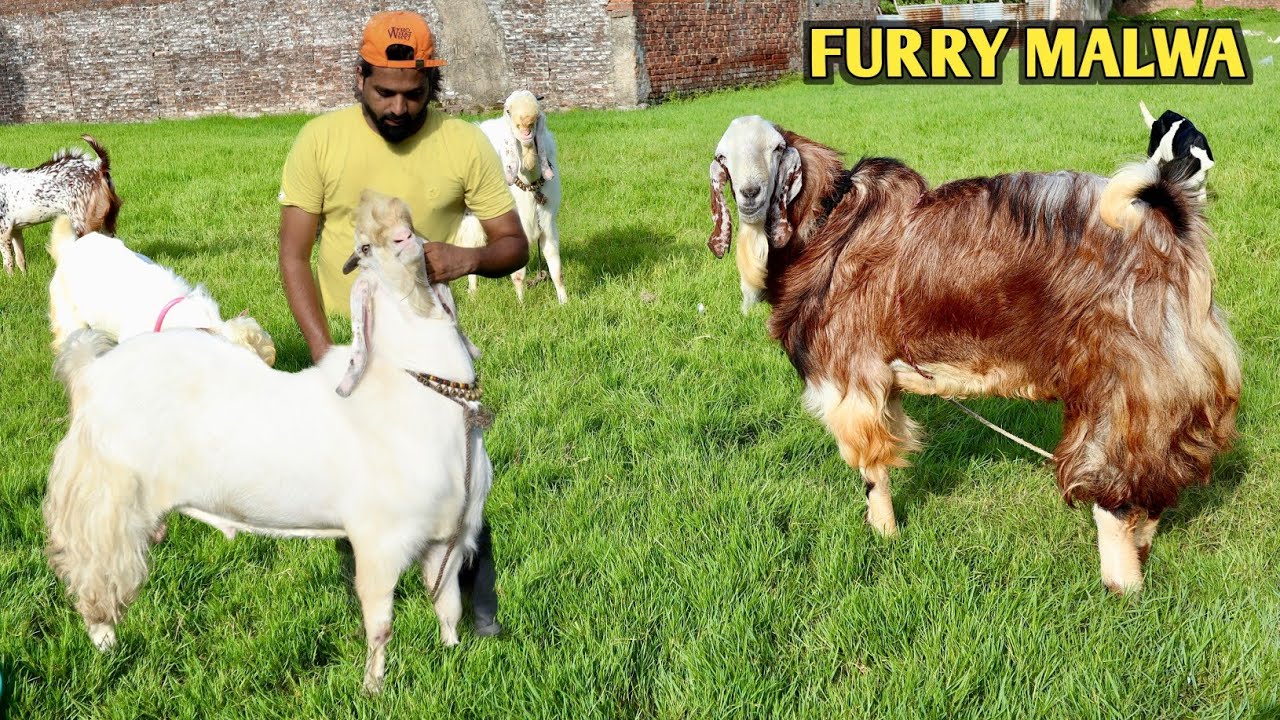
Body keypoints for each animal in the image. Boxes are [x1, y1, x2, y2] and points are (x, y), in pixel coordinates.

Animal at [0, 135, 122, 275]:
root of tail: (99, 167)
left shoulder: (4, 232)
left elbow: (8, 264)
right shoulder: (16, 230)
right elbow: (21, 260)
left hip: (83, 224)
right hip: (105, 223)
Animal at [457, 90, 568, 304]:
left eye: (537, 111)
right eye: (508, 110)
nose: (526, 131)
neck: (530, 184)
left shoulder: (548, 223)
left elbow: (555, 268)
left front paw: (564, 302)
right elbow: (518, 274)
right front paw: (522, 304)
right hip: (471, 220)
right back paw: (473, 293)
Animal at [708, 115, 1240, 594]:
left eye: (776, 149)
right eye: (723, 158)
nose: (750, 194)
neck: (830, 227)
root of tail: (1172, 234)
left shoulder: (851, 378)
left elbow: (872, 471)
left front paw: (884, 537)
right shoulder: (884, 380)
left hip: (1126, 386)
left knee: (1115, 487)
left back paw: (1121, 583)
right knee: (1157, 477)